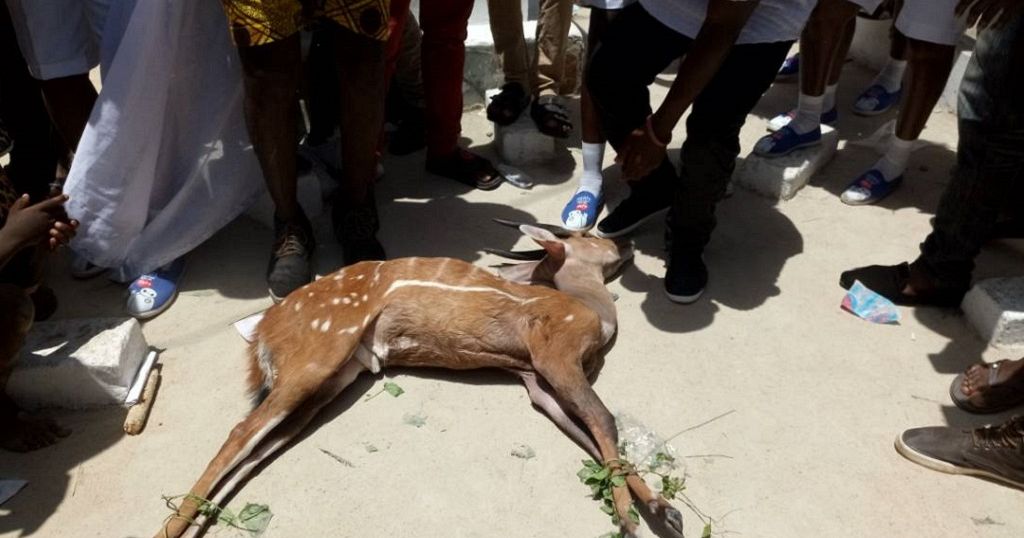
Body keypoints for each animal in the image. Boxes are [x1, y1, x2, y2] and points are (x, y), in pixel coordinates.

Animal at [155, 222, 684, 538]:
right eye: (588, 232)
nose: (627, 242)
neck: (592, 310)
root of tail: (262, 333)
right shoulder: (554, 352)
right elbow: (604, 421)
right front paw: (633, 520)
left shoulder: (534, 380)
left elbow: (587, 433)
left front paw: (666, 512)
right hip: (318, 355)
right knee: (241, 431)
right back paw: (169, 528)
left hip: (329, 383)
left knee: (257, 448)